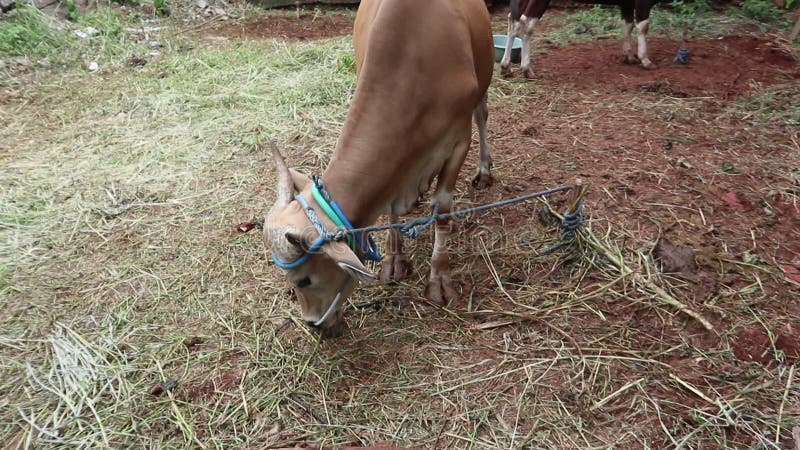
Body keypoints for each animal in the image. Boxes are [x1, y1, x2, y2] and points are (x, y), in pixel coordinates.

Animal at [265, 0, 494, 337]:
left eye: (303, 280)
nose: (314, 325)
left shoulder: (458, 141)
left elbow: (442, 210)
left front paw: (439, 277)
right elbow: (390, 206)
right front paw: (393, 257)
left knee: (482, 113)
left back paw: (485, 170)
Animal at [501, 0, 659, 78]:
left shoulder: (627, 2)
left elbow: (627, 25)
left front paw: (629, 56)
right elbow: (643, 26)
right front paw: (645, 60)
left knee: (513, 20)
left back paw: (505, 66)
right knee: (526, 23)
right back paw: (526, 69)